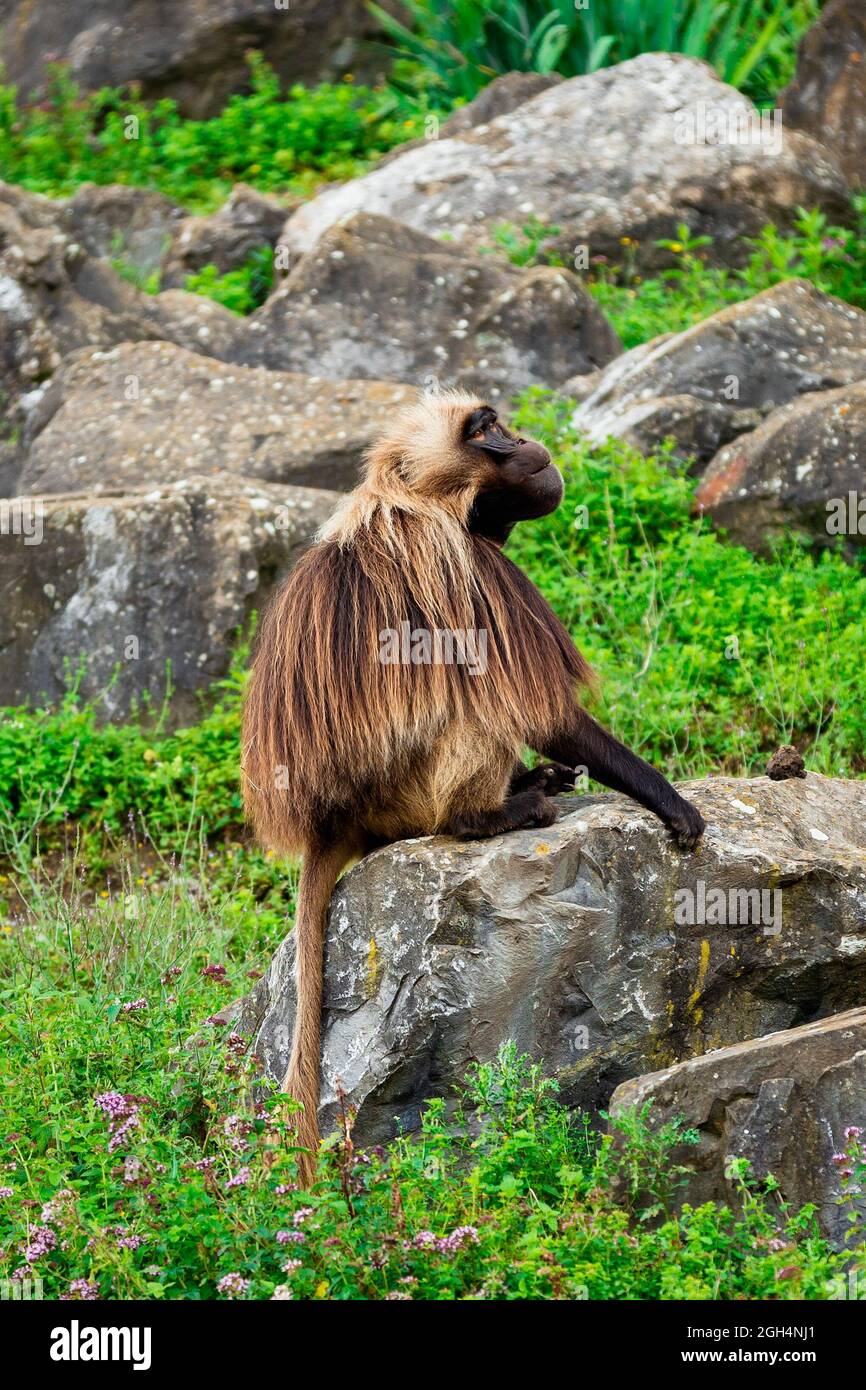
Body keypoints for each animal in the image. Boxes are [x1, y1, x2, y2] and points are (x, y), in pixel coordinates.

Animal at [242, 391, 706, 1185]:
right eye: (483, 432)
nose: (523, 442)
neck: (416, 502)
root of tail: (328, 822)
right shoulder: (473, 567)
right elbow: (548, 711)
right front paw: (670, 801)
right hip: (405, 798)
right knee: (473, 706)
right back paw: (493, 814)